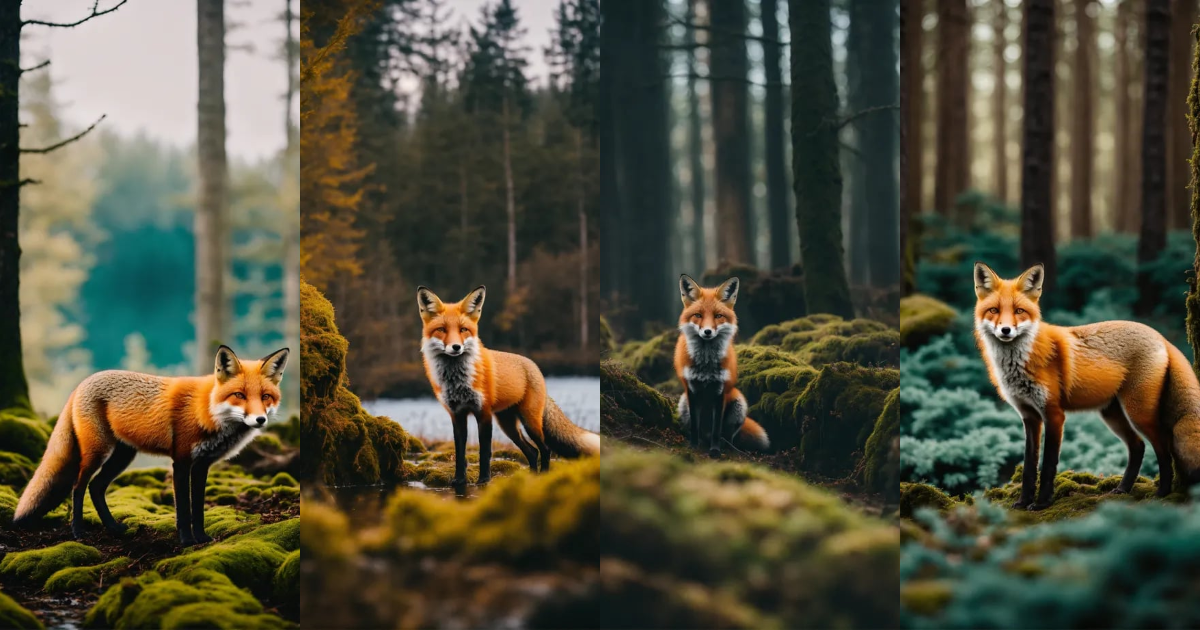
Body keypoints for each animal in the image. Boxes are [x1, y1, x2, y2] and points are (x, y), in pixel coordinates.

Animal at [12, 346, 289, 546]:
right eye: (239, 395)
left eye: (265, 397)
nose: (260, 420)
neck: (208, 412)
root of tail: (82, 383)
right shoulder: (181, 461)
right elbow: (184, 509)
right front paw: (186, 541)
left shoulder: (202, 465)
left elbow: (198, 508)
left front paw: (202, 538)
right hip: (96, 452)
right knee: (78, 487)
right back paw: (78, 532)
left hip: (123, 456)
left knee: (96, 487)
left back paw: (114, 528)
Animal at [417, 285, 600, 487]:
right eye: (441, 329)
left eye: (463, 329)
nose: (456, 347)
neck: (456, 380)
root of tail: (534, 366)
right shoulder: (457, 415)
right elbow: (459, 453)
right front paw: (459, 480)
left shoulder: (484, 413)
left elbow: (485, 452)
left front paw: (484, 480)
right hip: (508, 425)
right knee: (532, 451)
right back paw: (529, 477)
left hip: (529, 422)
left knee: (545, 449)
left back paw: (543, 477)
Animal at [674, 274, 770, 457]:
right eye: (698, 315)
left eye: (718, 316)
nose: (707, 332)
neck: (705, 364)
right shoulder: (691, 389)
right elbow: (694, 426)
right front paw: (693, 446)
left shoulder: (720, 391)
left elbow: (716, 428)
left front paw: (715, 450)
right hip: (683, 402)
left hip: (739, 403)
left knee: (728, 436)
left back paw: (728, 447)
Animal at [974, 262, 1200, 509]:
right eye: (994, 310)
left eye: (1019, 311)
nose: (1005, 330)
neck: (1018, 364)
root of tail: (1160, 336)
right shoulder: (1029, 416)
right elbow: (1028, 466)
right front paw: (1023, 502)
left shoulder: (1053, 413)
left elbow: (1049, 465)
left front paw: (1042, 503)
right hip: (1112, 415)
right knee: (1138, 446)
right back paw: (1123, 488)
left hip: (1139, 413)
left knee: (1164, 447)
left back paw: (1162, 492)